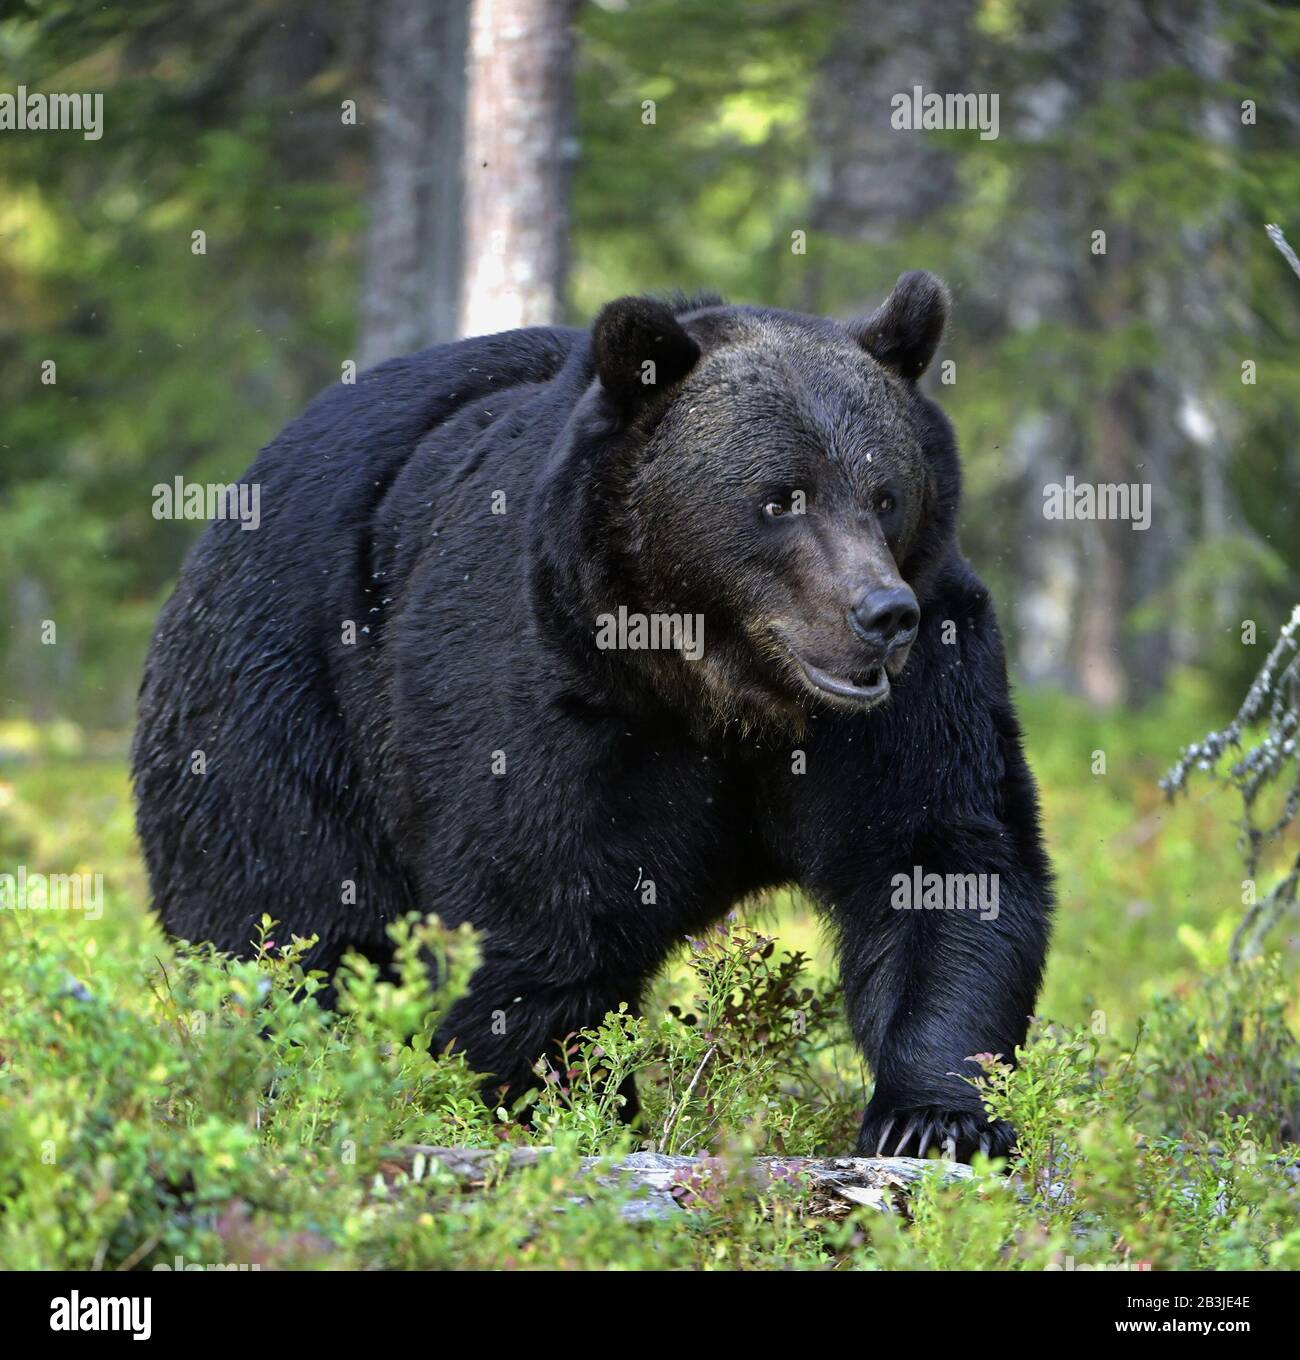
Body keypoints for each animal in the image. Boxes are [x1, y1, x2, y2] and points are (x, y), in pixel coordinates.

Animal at [132, 271, 1053, 1161]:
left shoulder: (914, 687)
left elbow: (940, 859)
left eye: (885, 493)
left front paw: (933, 1118)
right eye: (780, 499)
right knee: (285, 915)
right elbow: (537, 914)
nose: (880, 615)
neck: (723, 688)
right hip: (276, 701)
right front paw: (569, 1107)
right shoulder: (549, 694)